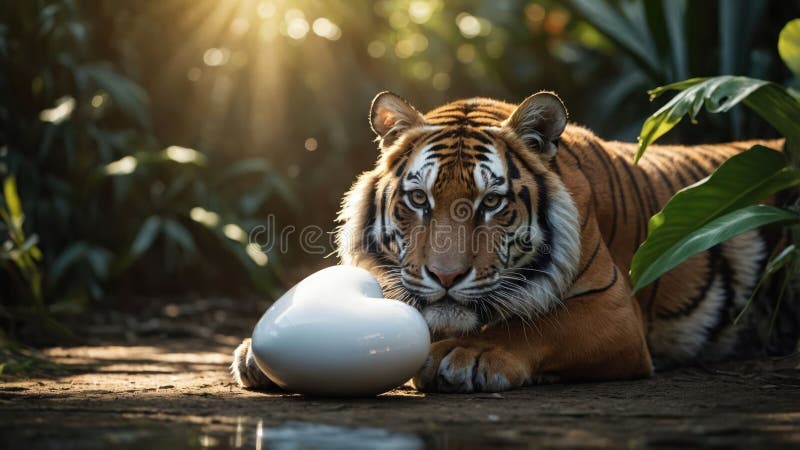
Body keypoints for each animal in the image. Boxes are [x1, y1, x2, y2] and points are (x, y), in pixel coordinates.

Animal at [232, 91, 797, 393]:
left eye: (490, 202)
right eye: (418, 200)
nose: (445, 276)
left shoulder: (615, 311)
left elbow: (542, 325)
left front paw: (469, 355)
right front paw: (252, 354)